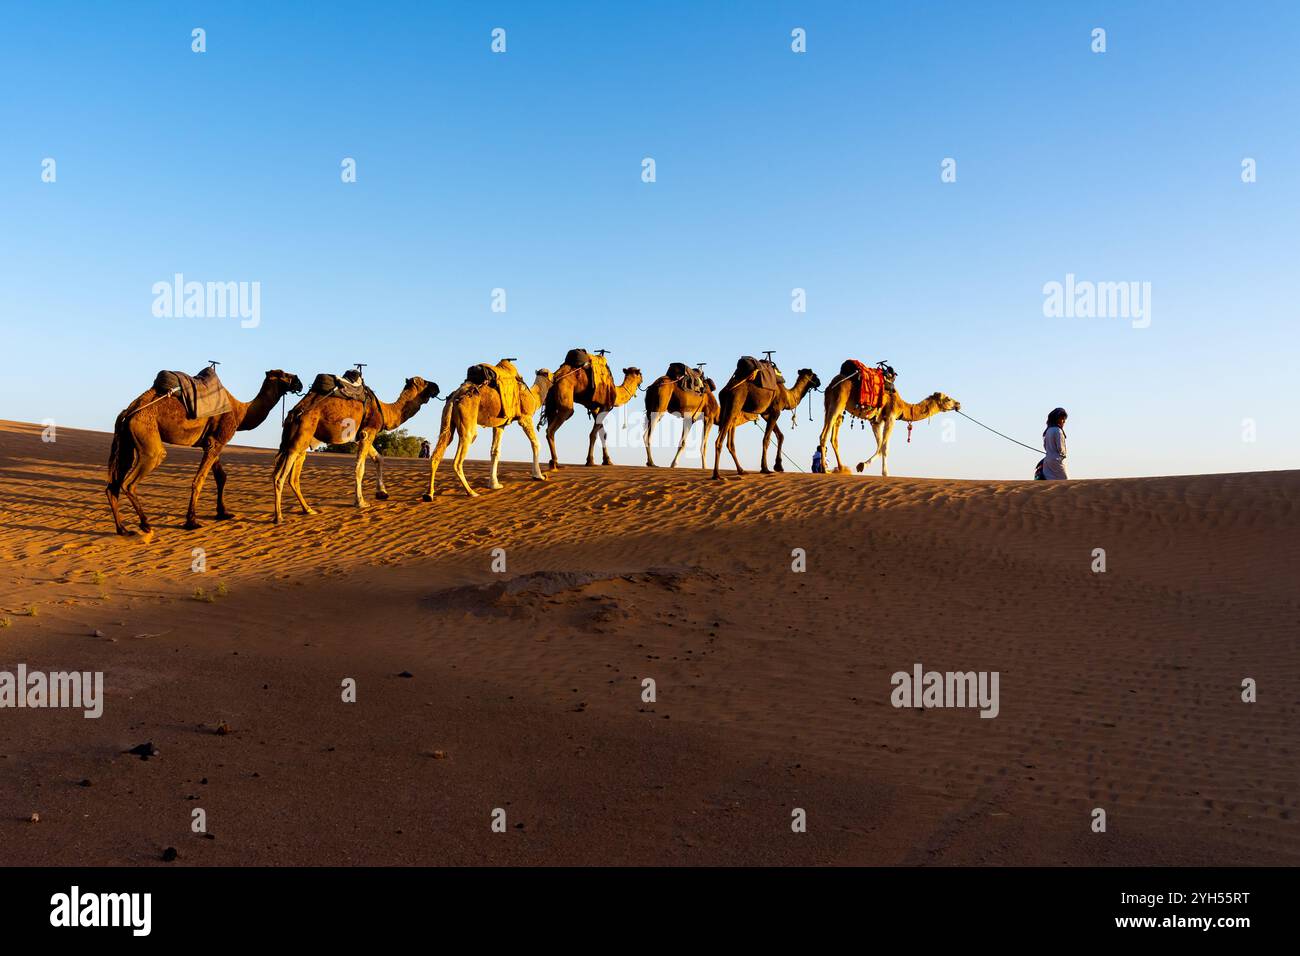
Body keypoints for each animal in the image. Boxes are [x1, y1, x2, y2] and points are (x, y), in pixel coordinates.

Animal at [106, 369, 303, 536]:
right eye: (284, 375)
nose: (299, 383)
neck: (240, 411)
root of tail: (128, 411)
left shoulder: (210, 443)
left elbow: (221, 477)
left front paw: (223, 513)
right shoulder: (218, 441)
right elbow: (199, 480)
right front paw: (191, 522)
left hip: (126, 441)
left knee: (113, 485)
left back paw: (123, 529)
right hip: (148, 438)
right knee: (130, 481)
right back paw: (145, 524)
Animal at [272, 376, 439, 523]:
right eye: (424, 382)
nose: (436, 386)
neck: (384, 411)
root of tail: (293, 414)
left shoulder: (362, 435)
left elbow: (379, 458)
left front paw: (382, 493)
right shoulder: (368, 432)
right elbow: (360, 468)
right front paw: (361, 502)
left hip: (299, 440)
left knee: (290, 476)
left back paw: (308, 509)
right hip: (301, 435)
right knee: (281, 476)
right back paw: (279, 517)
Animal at [421, 361, 552, 499]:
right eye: (552, 375)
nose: (555, 378)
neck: (533, 397)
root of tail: (454, 398)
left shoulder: (500, 425)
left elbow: (495, 451)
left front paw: (494, 484)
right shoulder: (525, 417)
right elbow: (536, 444)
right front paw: (539, 476)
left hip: (447, 420)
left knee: (437, 453)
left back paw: (429, 494)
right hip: (468, 424)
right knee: (459, 458)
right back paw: (471, 492)